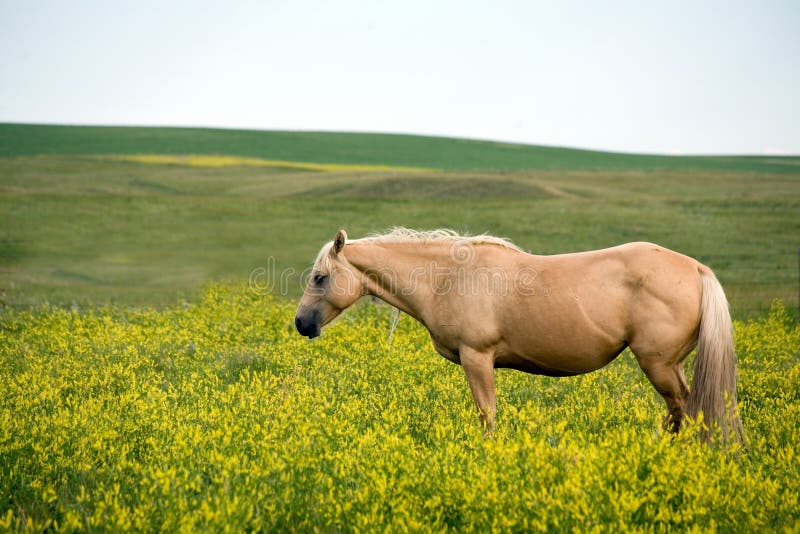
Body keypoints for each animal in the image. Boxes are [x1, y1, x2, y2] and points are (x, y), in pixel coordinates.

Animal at [294, 228, 745, 443]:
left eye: (320, 277)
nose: (301, 324)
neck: (448, 277)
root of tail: (696, 269)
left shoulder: (477, 359)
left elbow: (487, 415)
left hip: (659, 365)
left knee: (684, 408)